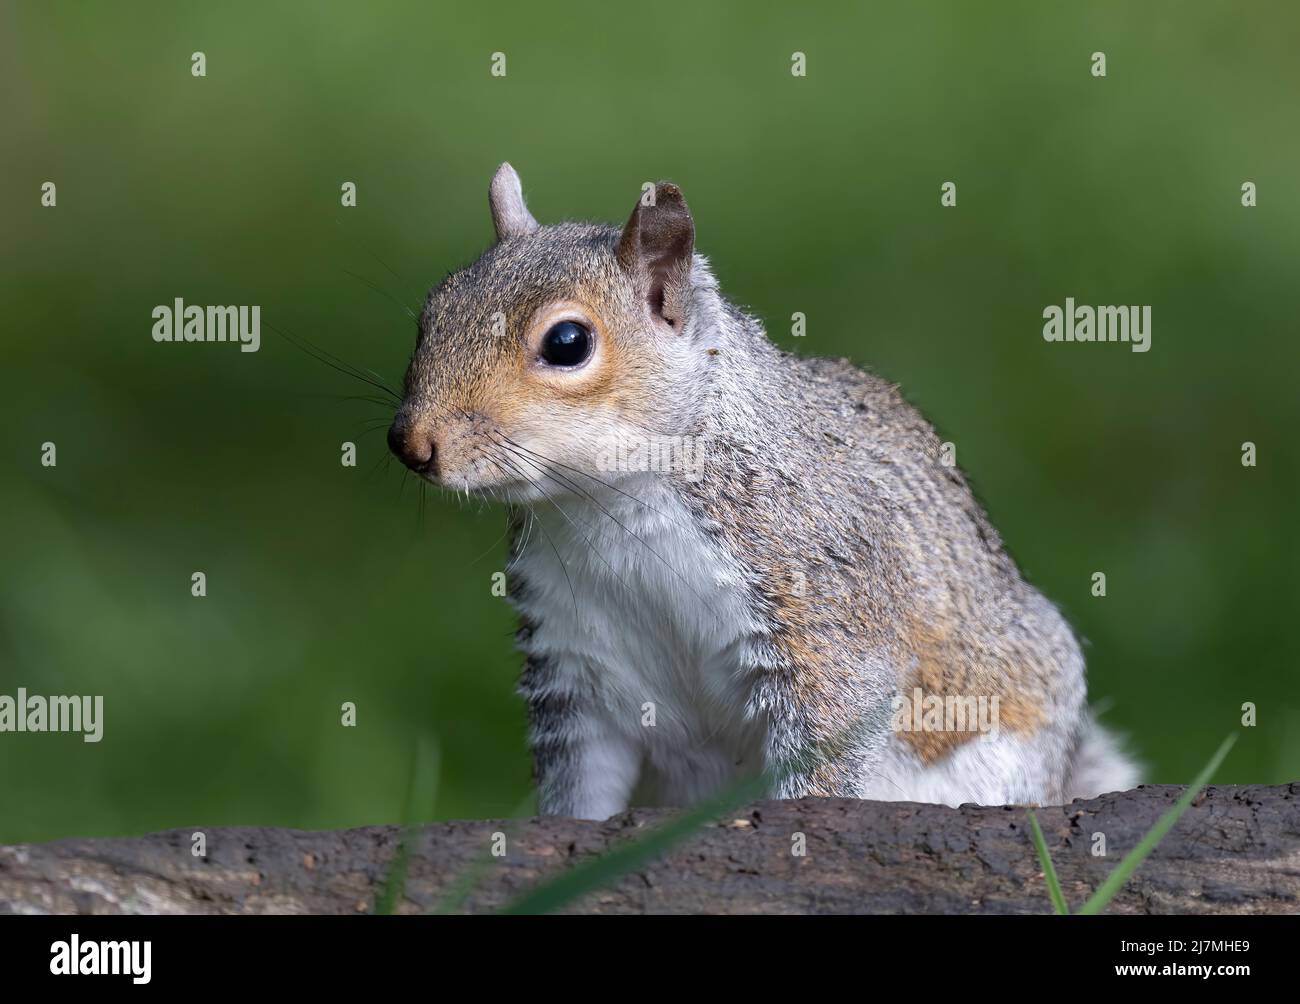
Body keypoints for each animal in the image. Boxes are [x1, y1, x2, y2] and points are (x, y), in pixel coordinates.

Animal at [387, 163, 1139, 819]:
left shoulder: (819, 609)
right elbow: (581, 786)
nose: (410, 443)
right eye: (430, 312)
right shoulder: (576, 661)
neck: (613, 507)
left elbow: (827, 744)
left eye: (568, 342)